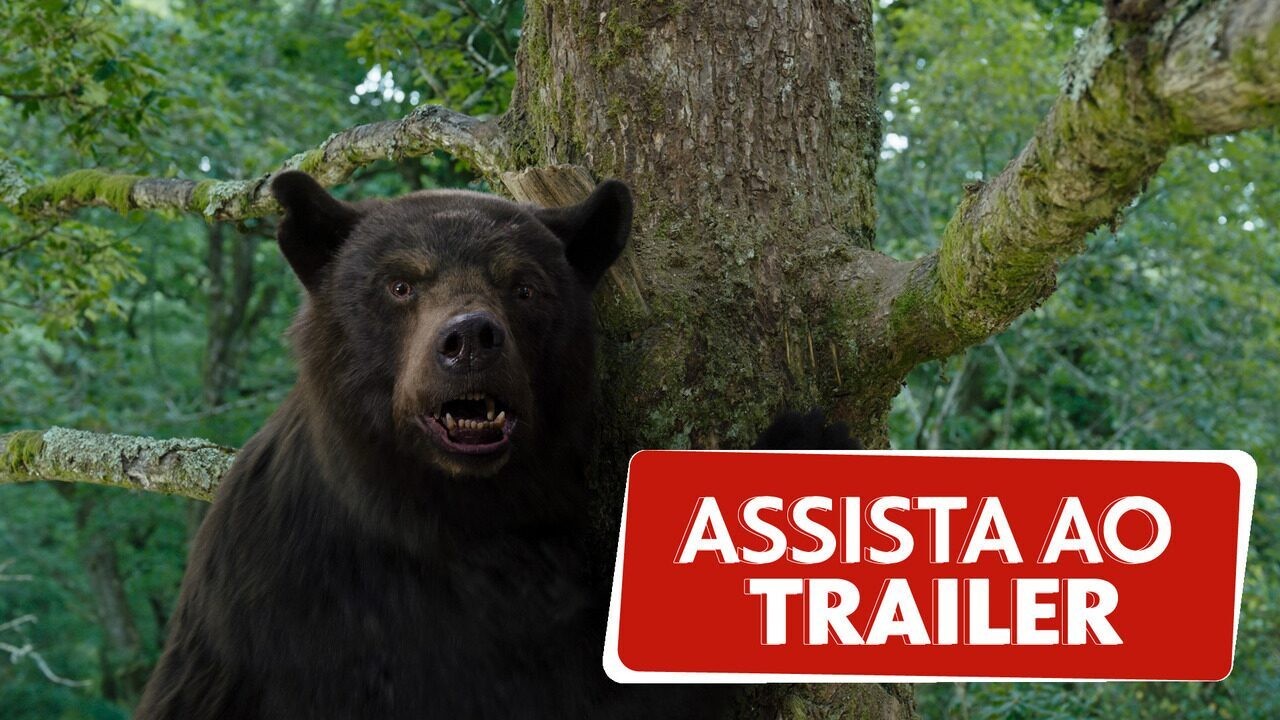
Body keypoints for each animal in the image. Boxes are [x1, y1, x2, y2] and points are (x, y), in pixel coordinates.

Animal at [134, 171, 855, 719]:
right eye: (400, 284)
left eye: (524, 285)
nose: (470, 340)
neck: (447, 509)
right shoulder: (364, 619)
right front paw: (797, 454)